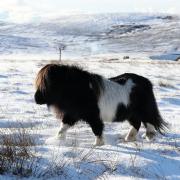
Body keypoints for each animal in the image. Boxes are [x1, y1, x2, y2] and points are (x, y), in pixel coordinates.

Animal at [34, 64, 167, 146]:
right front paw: (57, 141)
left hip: (143, 110)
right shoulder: (72, 114)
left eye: (47, 84)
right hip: (131, 114)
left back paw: (149, 136)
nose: (36, 99)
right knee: (137, 123)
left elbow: (97, 129)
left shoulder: (94, 117)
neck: (79, 89)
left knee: (149, 122)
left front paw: (98, 145)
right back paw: (130, 138)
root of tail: (147, 82)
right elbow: (63, 127)